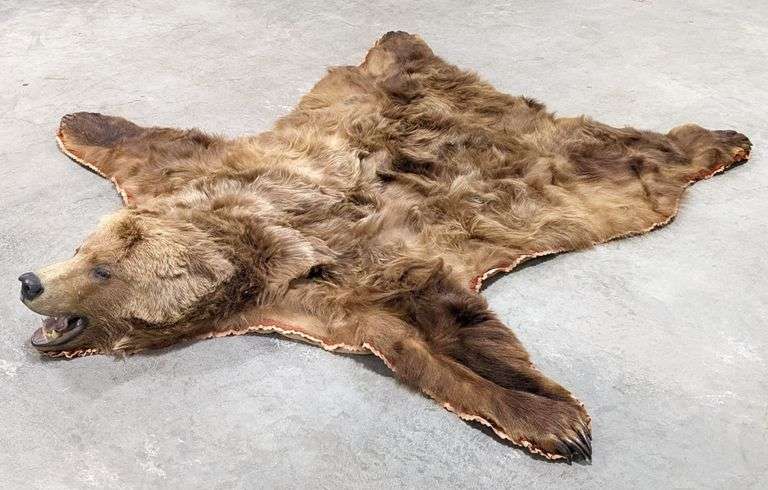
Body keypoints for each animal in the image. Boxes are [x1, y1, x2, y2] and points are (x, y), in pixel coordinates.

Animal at [18, 32, 752, 463]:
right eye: (82, 248)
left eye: (103, 270)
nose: (29, 281)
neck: (248, 245)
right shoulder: (225, 204)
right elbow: (148, 143)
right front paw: (79, 119)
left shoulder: (342, 276)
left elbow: (440, 330)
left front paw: (556, 421)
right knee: (399, 53)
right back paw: (399, 41)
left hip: (594, 181)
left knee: (642, 158)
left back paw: (727, 139)